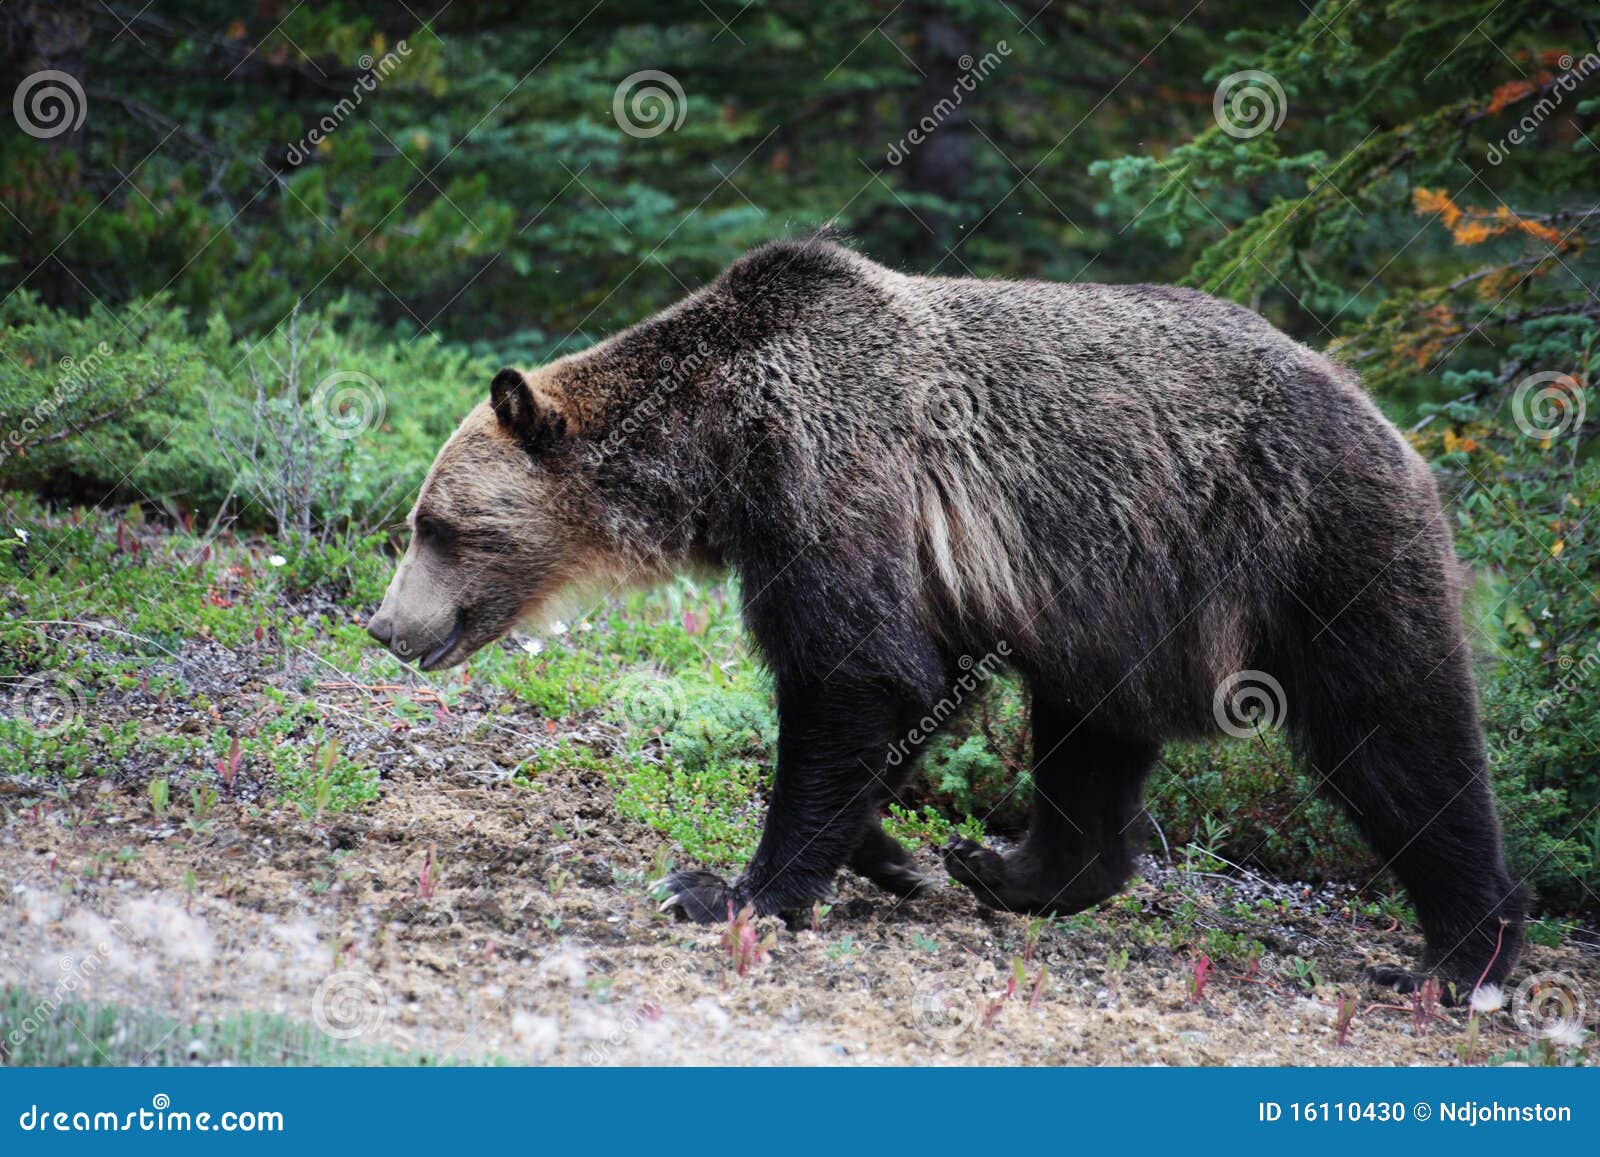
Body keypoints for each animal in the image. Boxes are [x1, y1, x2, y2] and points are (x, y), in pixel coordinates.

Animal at [366, 237, 1527, 997]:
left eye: (436, 523)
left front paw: (732, 889)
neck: (719, 444)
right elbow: (903, 693)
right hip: (1119, 591)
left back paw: (1455, 952)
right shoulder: (930, 560)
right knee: (1088, 727)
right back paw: (1014, 868)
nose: (386, 625)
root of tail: (1390, 419)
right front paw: (893, 852)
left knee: (1394, 727)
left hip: (1315, 543)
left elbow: (854, 675)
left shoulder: (833, 472)